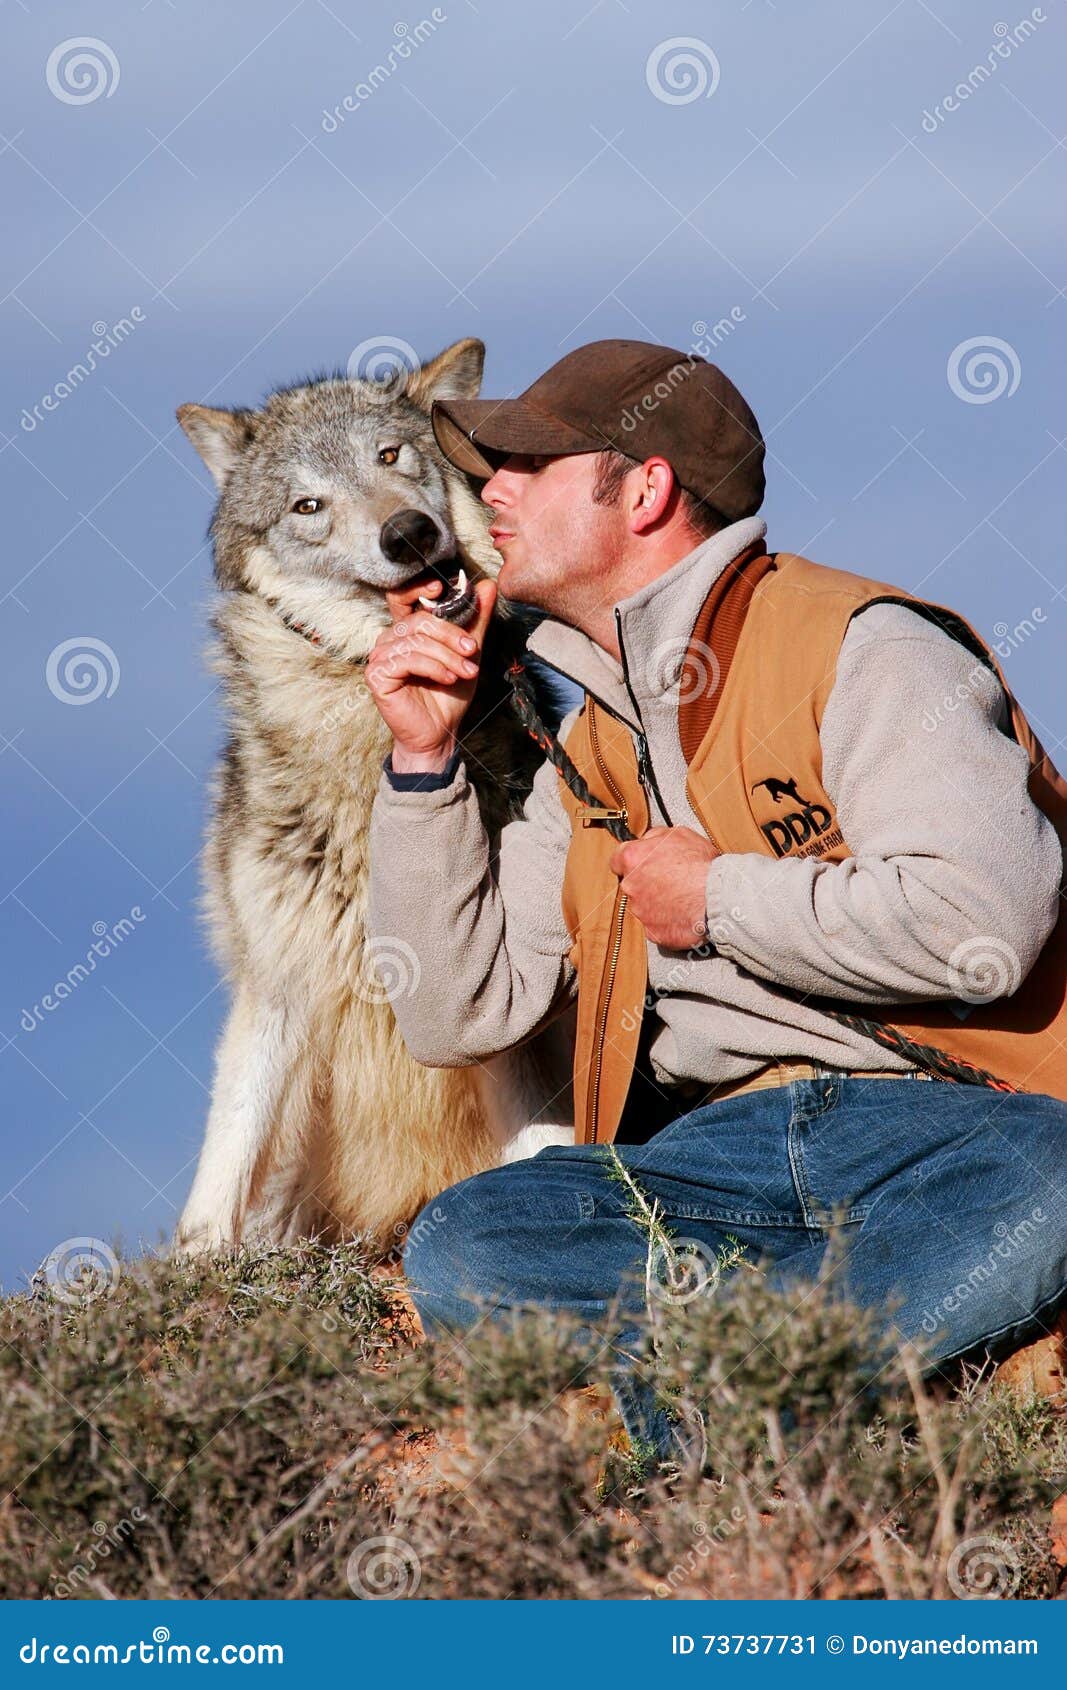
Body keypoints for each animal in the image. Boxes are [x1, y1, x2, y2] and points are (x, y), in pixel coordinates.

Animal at [173, 337, 574, 1256]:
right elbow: (222, 1165)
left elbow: (546, 1146)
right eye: (307, 505)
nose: (407, 533)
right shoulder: (280, 981)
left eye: (390, 457)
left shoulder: (506, 1008)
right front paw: (201, 1263)